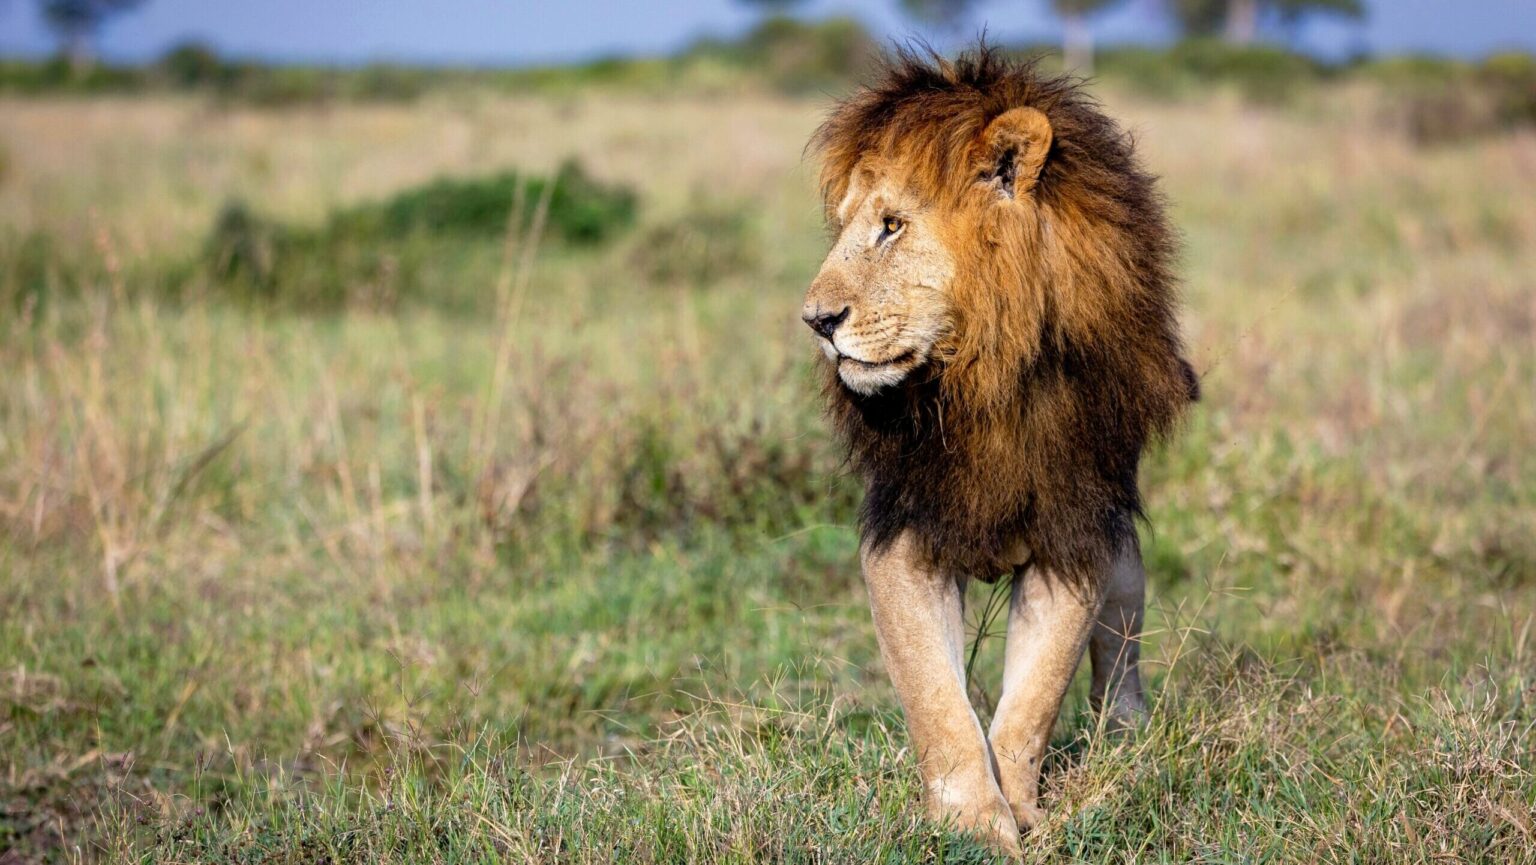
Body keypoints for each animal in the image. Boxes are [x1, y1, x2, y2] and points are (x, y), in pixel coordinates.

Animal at [801, 47, 1199, 854]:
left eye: (892, 225)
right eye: (845, 225)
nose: (816, 320)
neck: (978, 382)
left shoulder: (1074, 536)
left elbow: (1029, 708)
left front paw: (1021, 815)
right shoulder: (903, 536)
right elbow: (937, 702)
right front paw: (973, 825)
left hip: (1120, 548)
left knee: (1121, 644)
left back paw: (1126, 735)